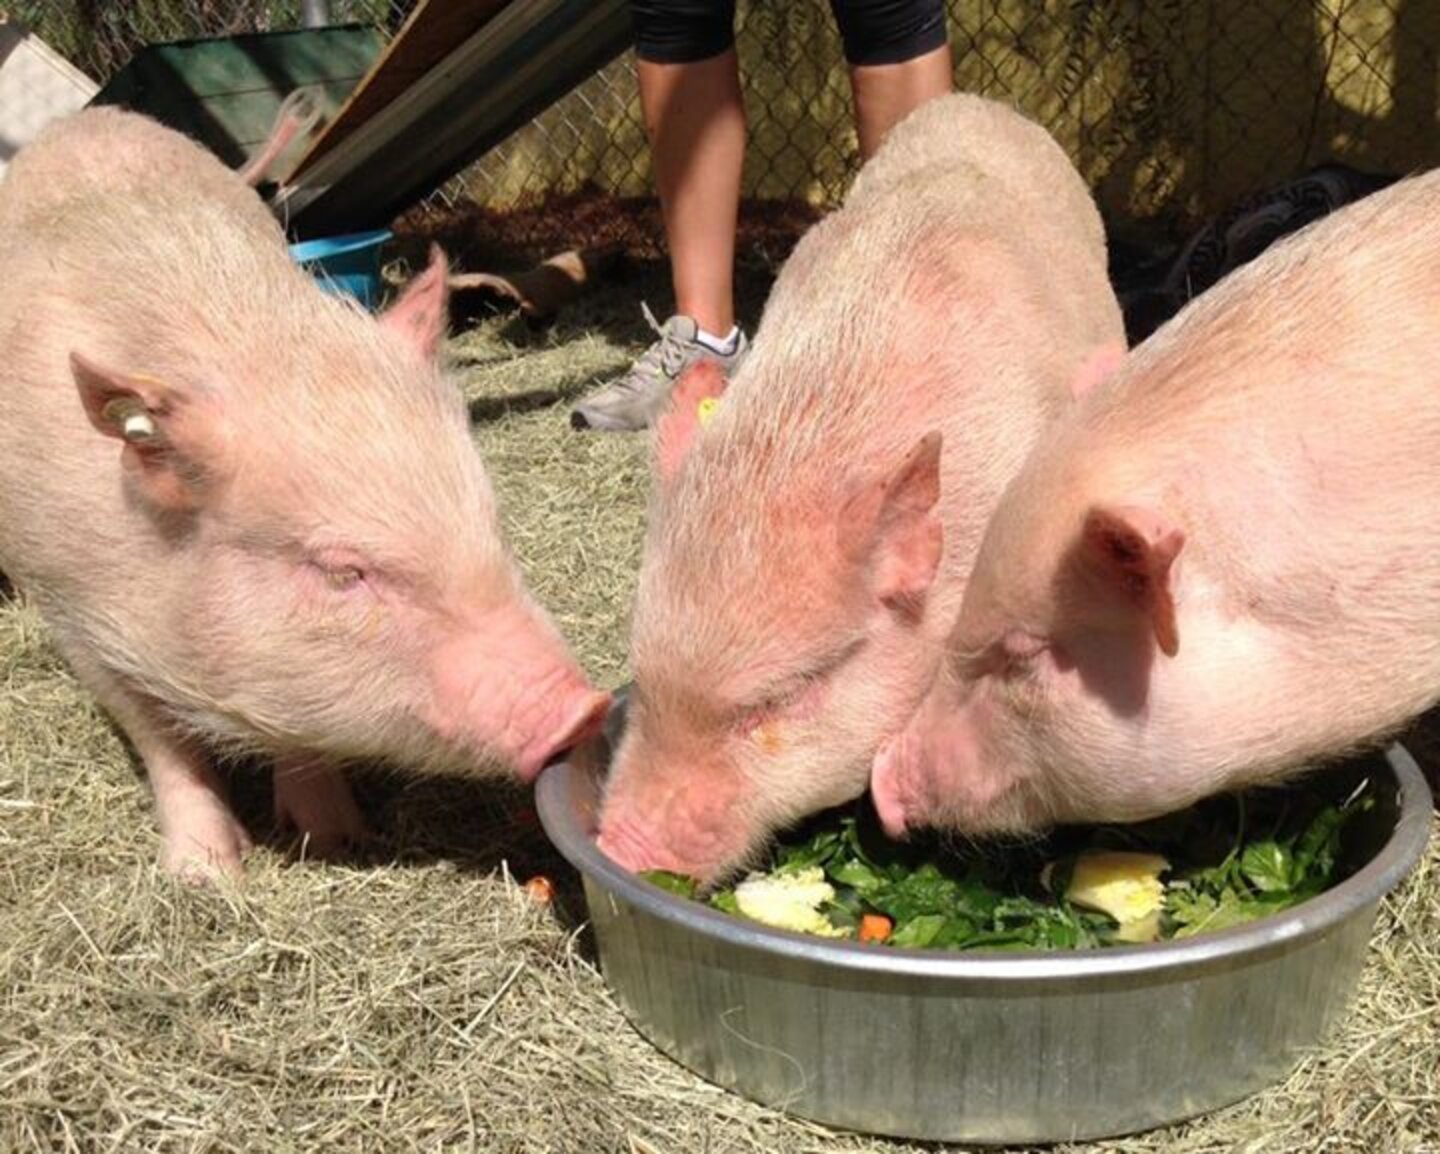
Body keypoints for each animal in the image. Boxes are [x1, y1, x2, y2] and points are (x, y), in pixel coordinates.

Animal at [0, 109, 608, 876]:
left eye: (489, 521)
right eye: (342, 572)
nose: (584, 706)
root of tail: (87, 118)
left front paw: (333, 840)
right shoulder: (73, 611)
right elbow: (163, 744)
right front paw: (207, 876)